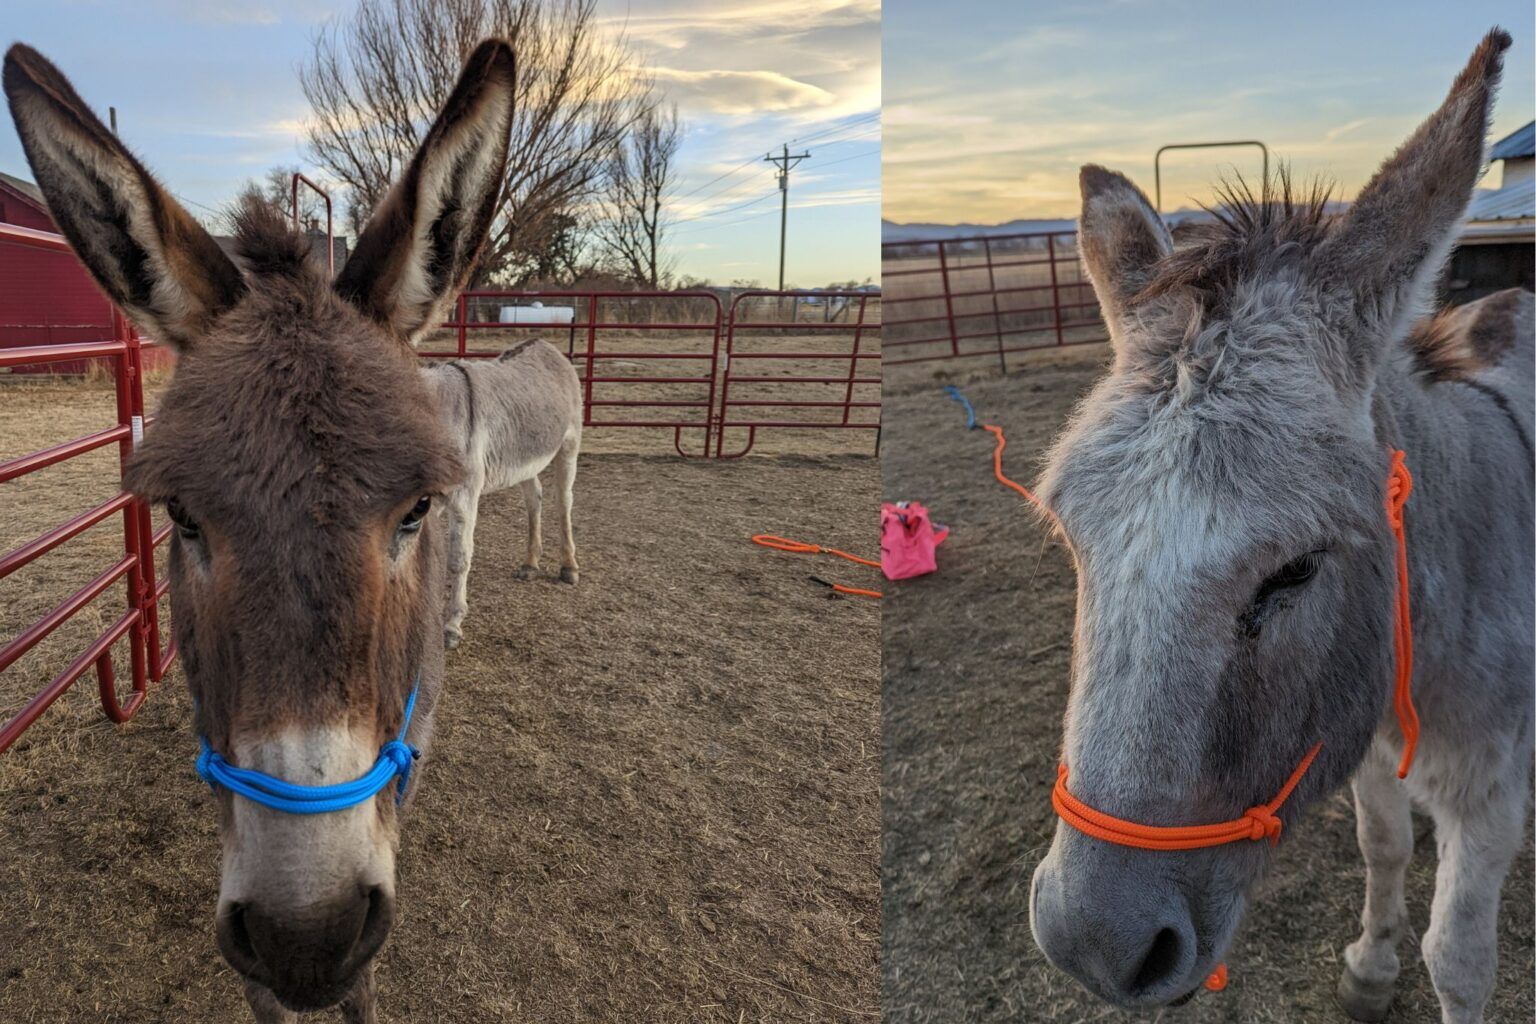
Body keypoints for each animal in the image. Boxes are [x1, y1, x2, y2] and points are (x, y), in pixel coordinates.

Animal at [422, 339, 583, 649]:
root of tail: (544, 345)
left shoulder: (464, 497)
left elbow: (458, 558)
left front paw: (451, 625)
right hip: (526, 458)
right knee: (534, 496)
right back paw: (530, 563)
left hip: (569, 445)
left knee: (564, 502)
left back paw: (568, 567)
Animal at [1025, 29, 1532, 1024]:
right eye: (1072, 543)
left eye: (1294, 571)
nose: (1095, 949)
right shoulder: (1357, 731)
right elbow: (1383, 847)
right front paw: (1371, 966)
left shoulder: (1491, 789)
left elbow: (1458, 958)